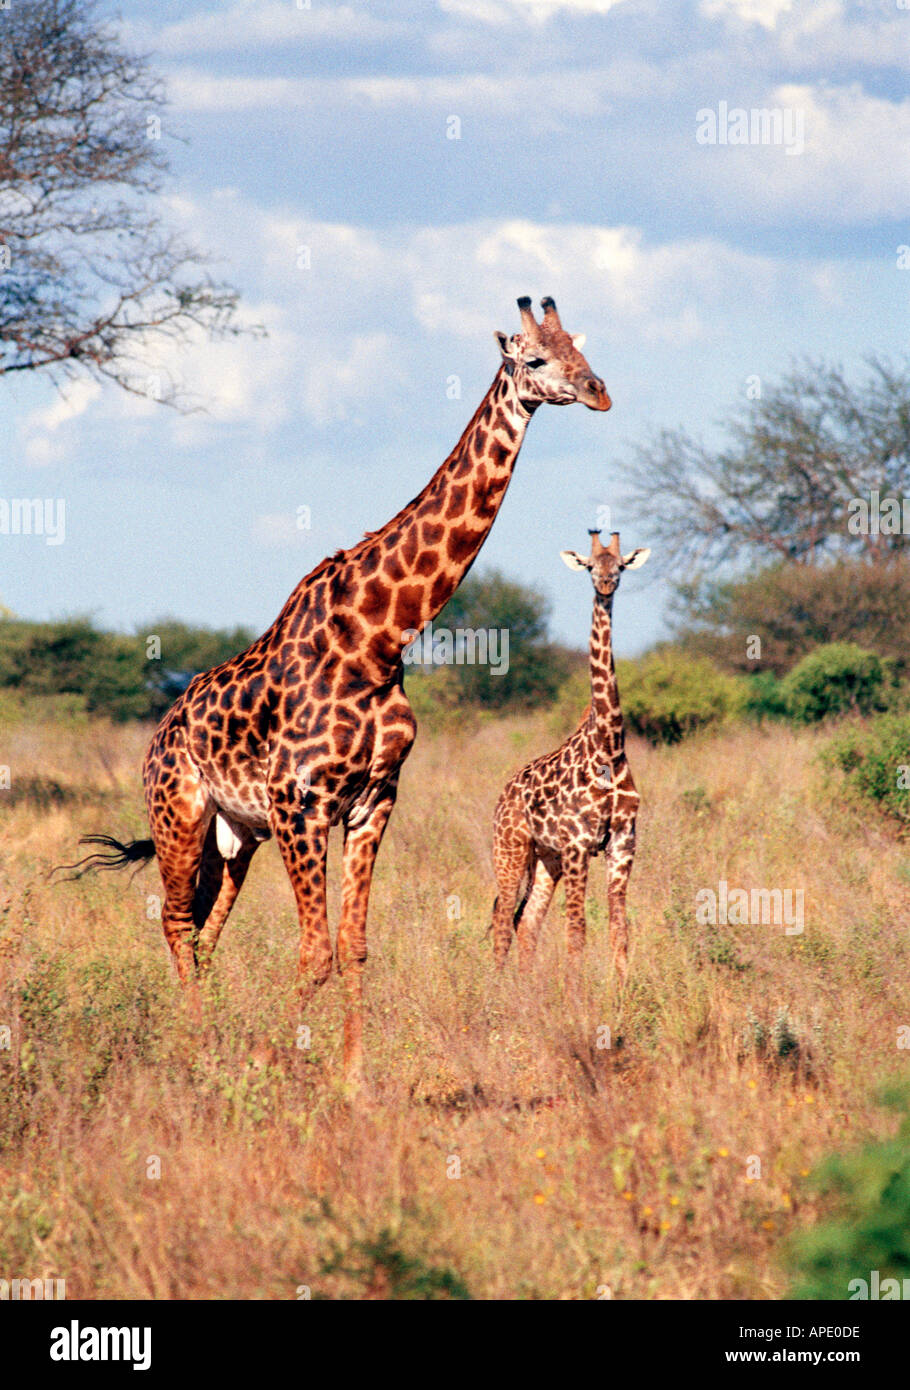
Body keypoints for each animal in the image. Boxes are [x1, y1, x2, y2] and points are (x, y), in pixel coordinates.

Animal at [66, 297, 611, 1083]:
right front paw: (269, 1055)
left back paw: (206, 1037)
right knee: (174, 923)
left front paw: (353, 1080)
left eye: (581, 349)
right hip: (181, 815)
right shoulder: (301, 802)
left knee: (203, 932)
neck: (379, 634)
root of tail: (158, 734)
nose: (599, 391)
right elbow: (316, 952)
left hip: (236, 841)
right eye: (536, 359)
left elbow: (352, 947)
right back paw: (195, 1047)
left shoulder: (371, 801)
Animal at [490, 529, 649, 984]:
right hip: (511, 849)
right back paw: (495, 992)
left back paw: (524, 990)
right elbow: (576, 929)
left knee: (526, 921)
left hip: (547, 858)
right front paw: (576, 997)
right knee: (502, 920)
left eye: (621, 565)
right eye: (591, 566)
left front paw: (622, 992)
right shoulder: (579, 843)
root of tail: (503, 794)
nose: (606, 585)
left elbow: (619, 928)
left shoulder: (622, 843)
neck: (610, 746)